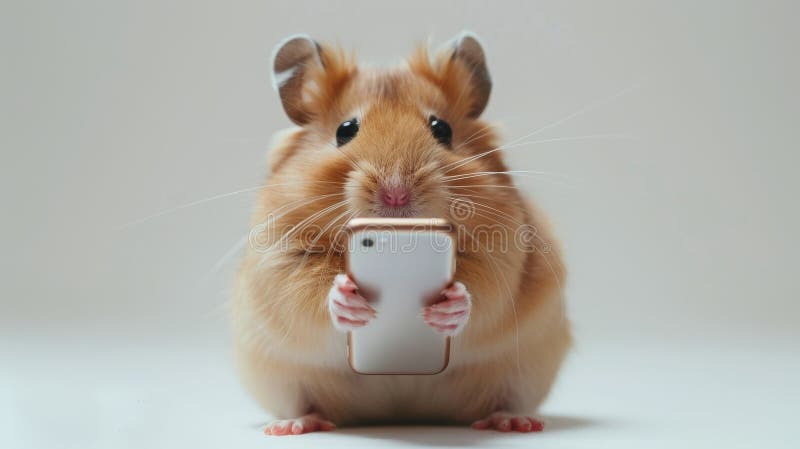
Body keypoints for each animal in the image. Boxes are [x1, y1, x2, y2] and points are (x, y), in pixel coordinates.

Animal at [232, 31, 571, 435]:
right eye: (345, 130)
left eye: (442, 129)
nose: (396, 193)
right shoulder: (280, 256)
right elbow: (308, 293)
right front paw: (347, 300)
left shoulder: (504, 252)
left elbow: (481, 291)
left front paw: (451, 304)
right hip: (280, 378)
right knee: (306, 405)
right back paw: (293, 426)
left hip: (525, 373)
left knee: (503, 402)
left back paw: (514, 422)